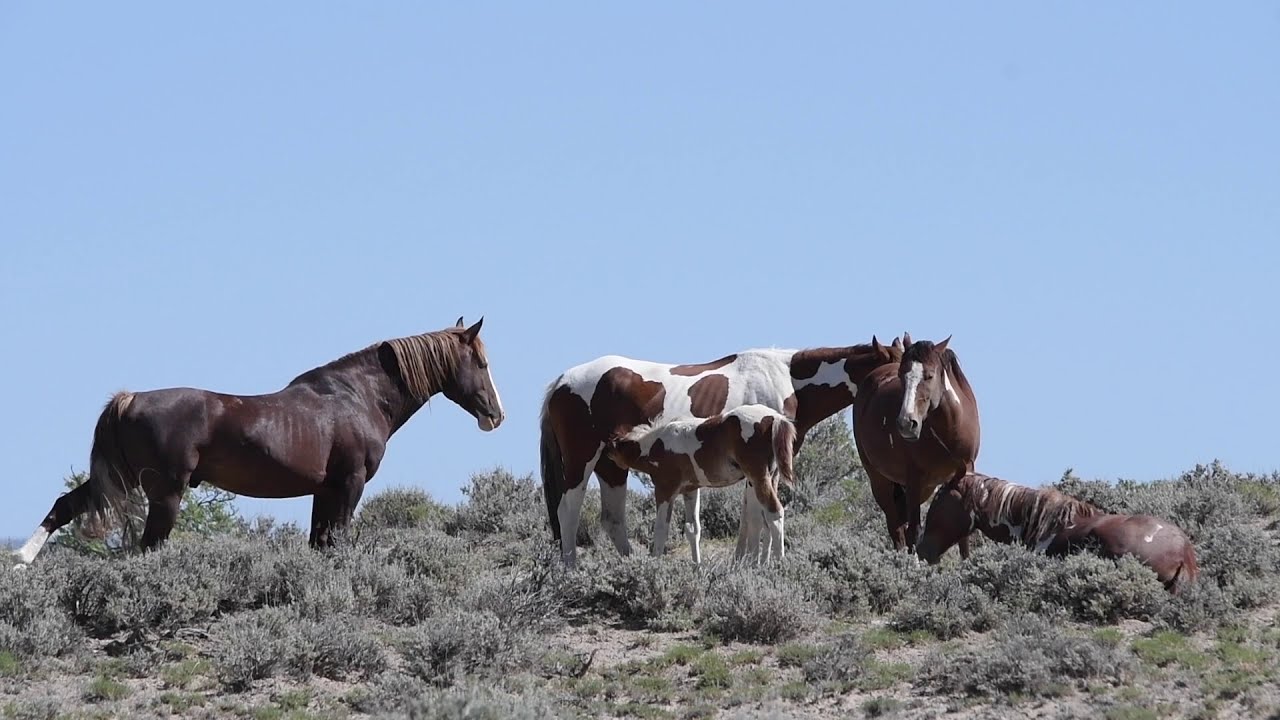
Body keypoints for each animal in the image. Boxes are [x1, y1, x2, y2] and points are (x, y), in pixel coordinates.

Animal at [11, 318, 504, 568]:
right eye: (480, 363)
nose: (496, 415)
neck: (356, 397)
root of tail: (131, 399)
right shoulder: (349, 485)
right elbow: (338, 540)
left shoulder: (324, 491)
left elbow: (320, 543)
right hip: (164, 493)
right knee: (148, 545)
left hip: (123, 478)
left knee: (65, 506)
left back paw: (20, 560)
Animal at [606, 404, 797, 562]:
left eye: (610, 446)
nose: (607, 456)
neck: (656, 445)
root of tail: (775, 418)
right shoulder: (690, 490)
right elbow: (693, 529)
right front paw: (697, 566)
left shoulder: (664, 490)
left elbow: (661, 529)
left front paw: (654, 565)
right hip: (770, 477)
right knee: (764, 519)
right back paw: (763, 564)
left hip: (758, 477)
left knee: (774, 512)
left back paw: (778, 564)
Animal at [852, 335, 980, 556]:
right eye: (902, 376)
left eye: (929, 376)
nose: (906, 423)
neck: (949, 434)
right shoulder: (914, 478)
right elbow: (914, 531)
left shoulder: (964, 473)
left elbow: (963, 534)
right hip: (881, 481)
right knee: (896, 527)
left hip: (925, 487)